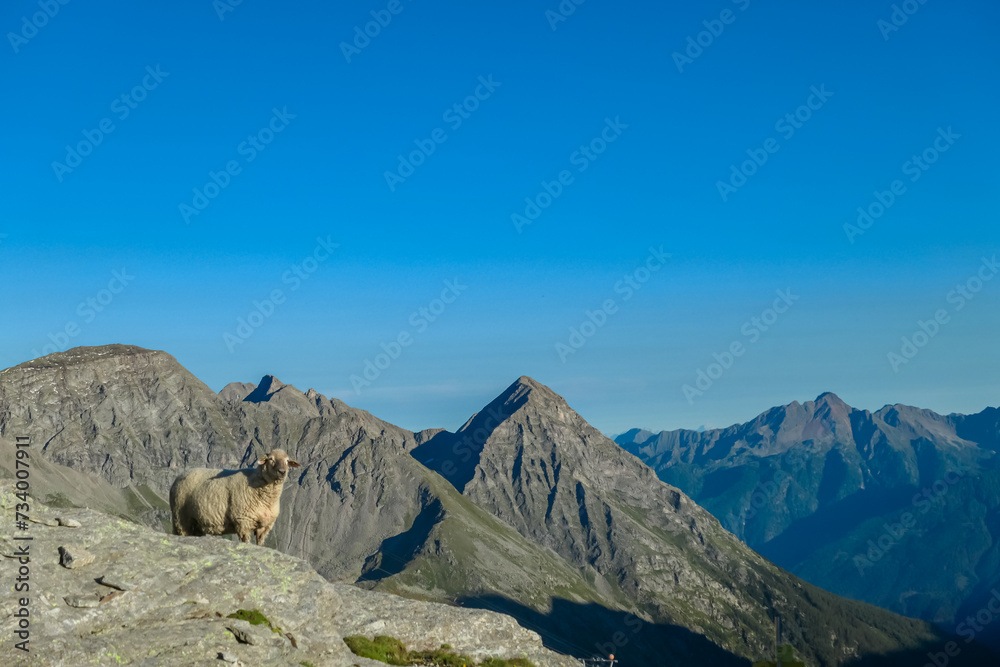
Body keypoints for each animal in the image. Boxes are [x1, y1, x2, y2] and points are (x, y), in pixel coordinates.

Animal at [169, 449, 300, 545]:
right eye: (271, 459)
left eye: (287, 461)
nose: (282, 472)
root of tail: (180, 475)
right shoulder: (243, 521)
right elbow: (246, 542)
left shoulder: (265, 525)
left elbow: (260, 544)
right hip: (181, 517)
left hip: (196, 522)